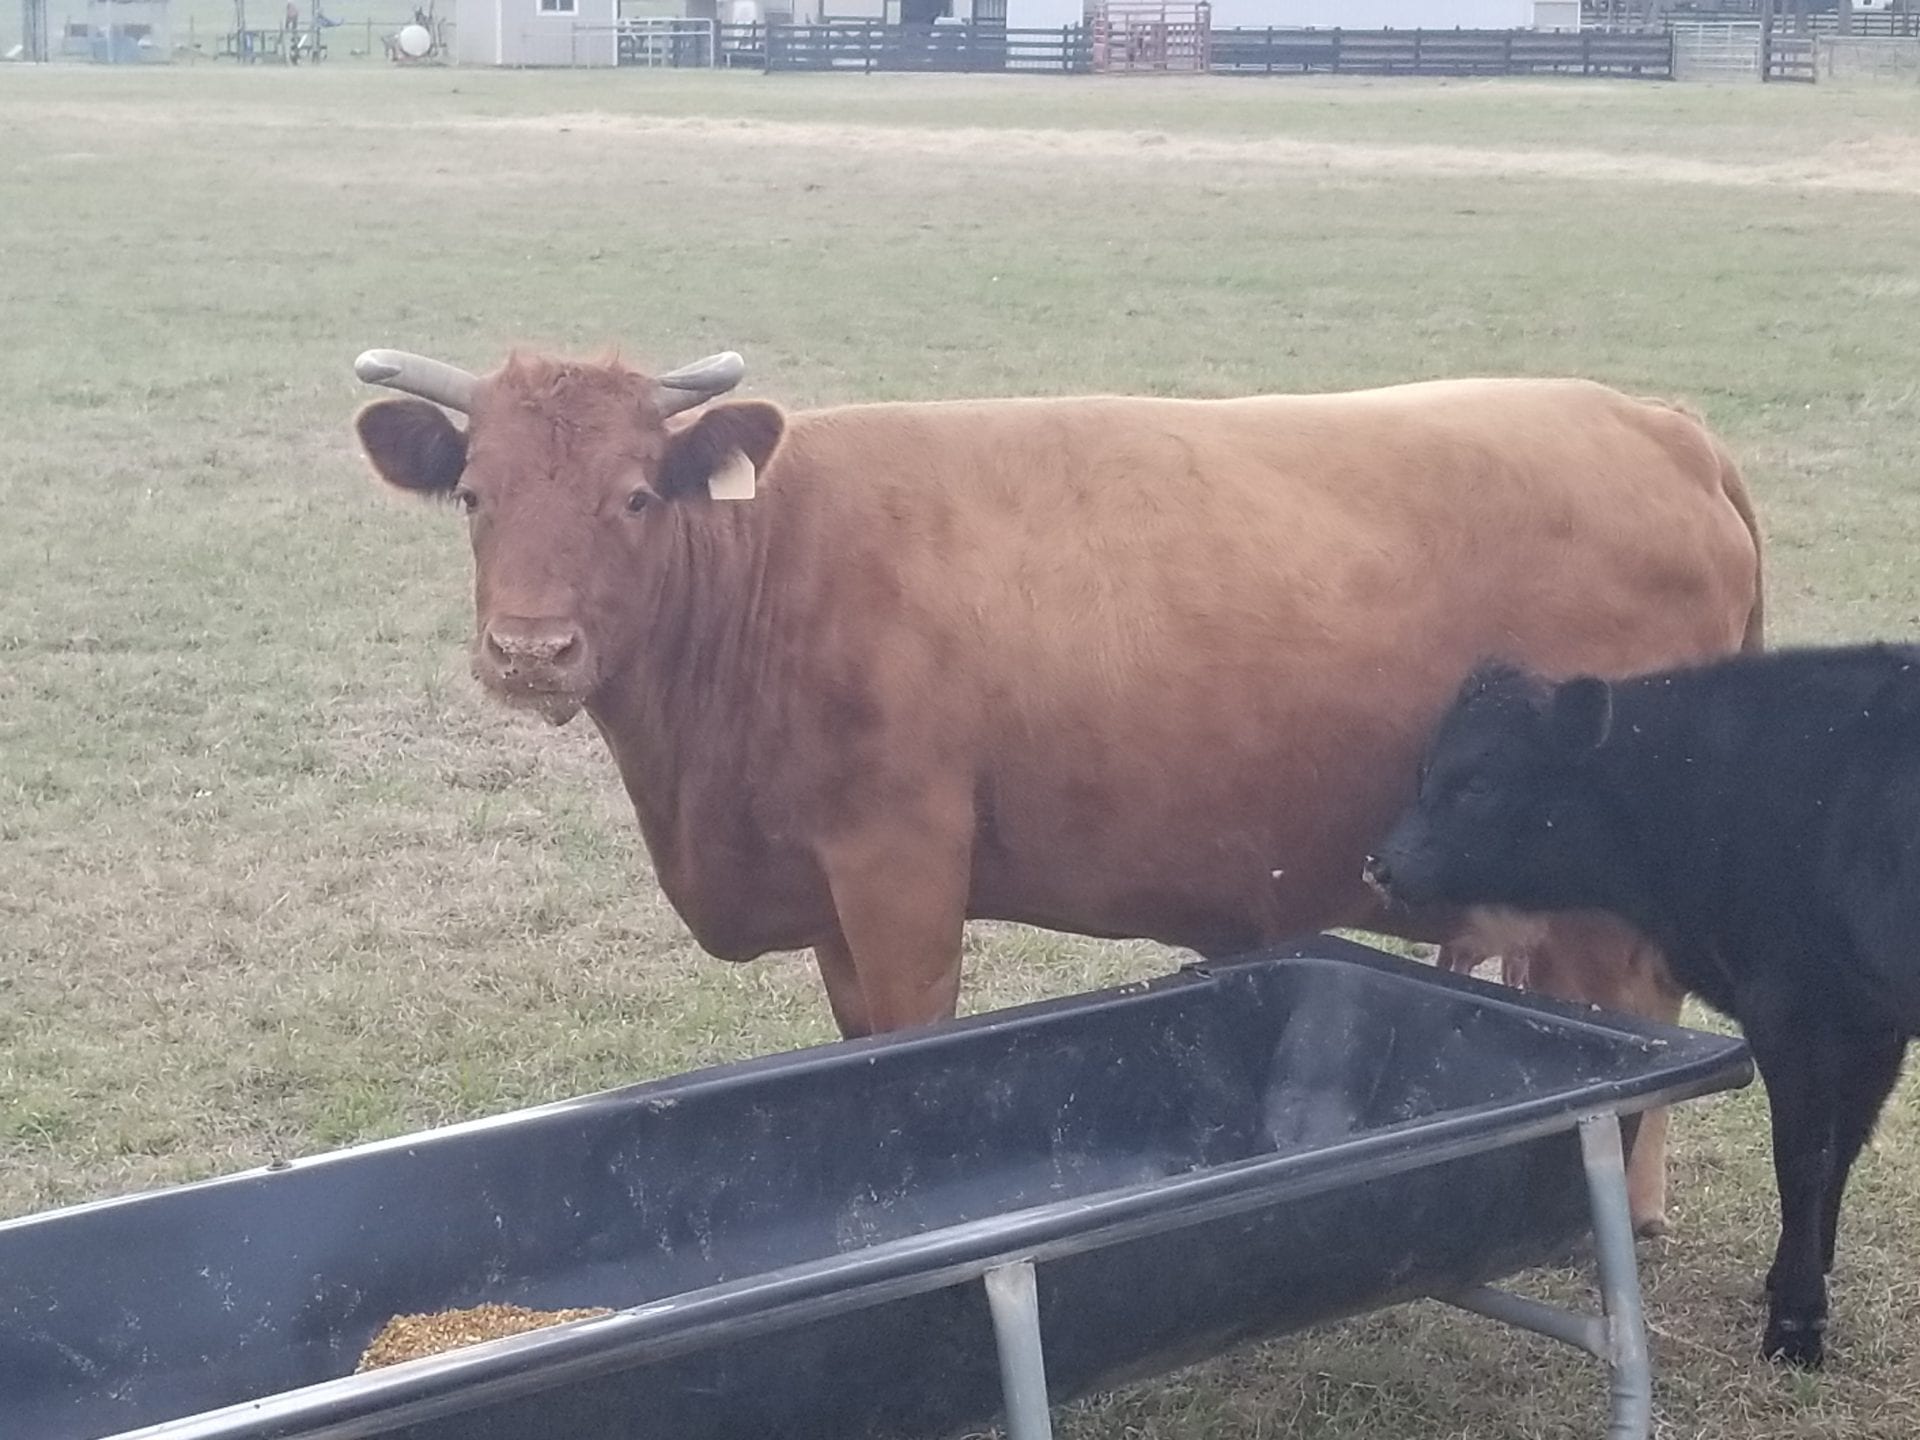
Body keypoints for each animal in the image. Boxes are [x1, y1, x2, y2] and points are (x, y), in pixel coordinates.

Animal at [347, 345, 1766, 1237]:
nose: (531, 650)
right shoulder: (832, 904)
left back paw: (1631, 1207)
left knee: (1634, 1014)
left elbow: (913, 1044)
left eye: (636, 495)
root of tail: (1657, 426)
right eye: (473, 495)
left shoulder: (902, 869)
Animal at [1364, 645, 1920, 1367]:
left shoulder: (1792, 1008)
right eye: (1425, 770)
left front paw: (1795, 1324)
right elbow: (1842, 1147)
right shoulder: (1869, 1019)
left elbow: (1805, 1161)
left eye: (1481, 784)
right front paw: (1796, 1276)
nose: (1381, 865)